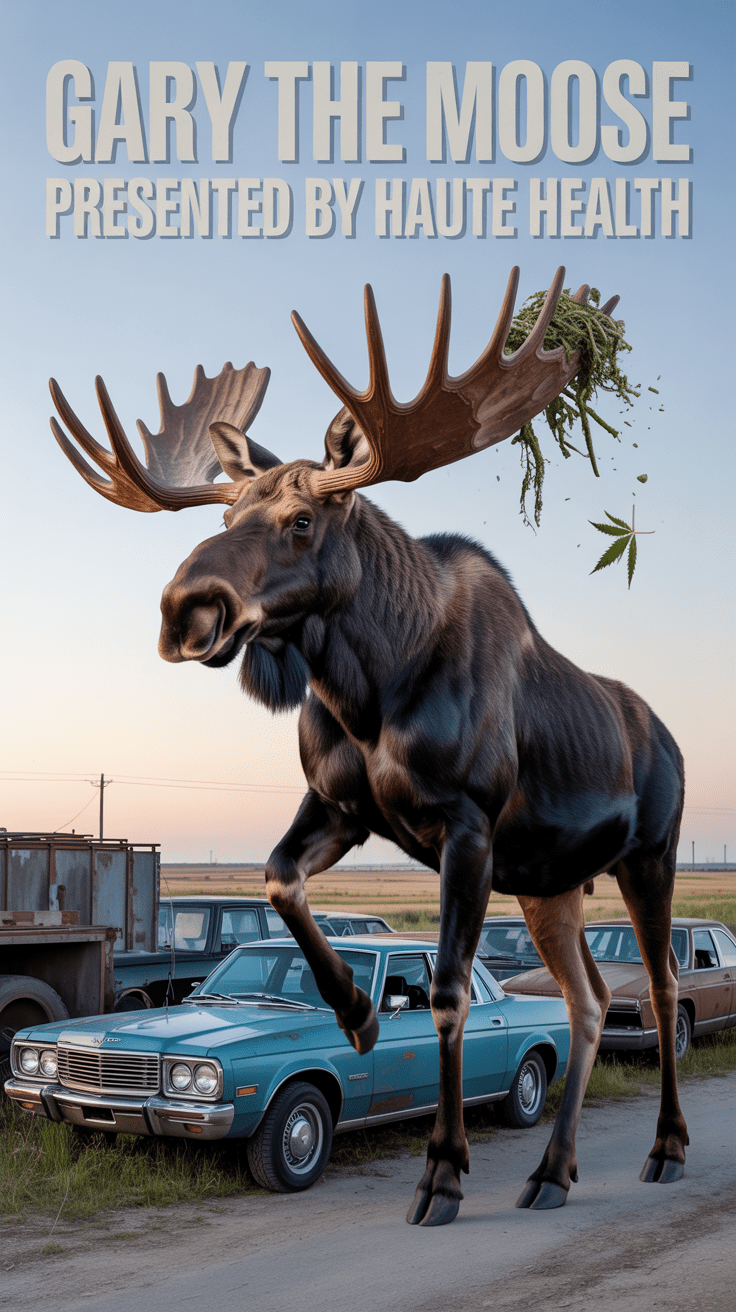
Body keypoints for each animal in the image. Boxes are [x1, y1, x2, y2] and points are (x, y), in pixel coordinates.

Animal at [50, 266, 688, 1226]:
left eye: (302, 521)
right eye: (227, 515)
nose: (184, 608)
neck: (369, 688)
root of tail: (675, 743)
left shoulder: (468, 825)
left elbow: (452, 994)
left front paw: (445, 1172)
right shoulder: (342, 805)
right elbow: (278, 878)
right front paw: (355, 1013)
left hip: (649, 853)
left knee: (662, 984)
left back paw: (664, 1150)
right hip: (551, 881)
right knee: (589, 1000)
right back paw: (552, 1171)